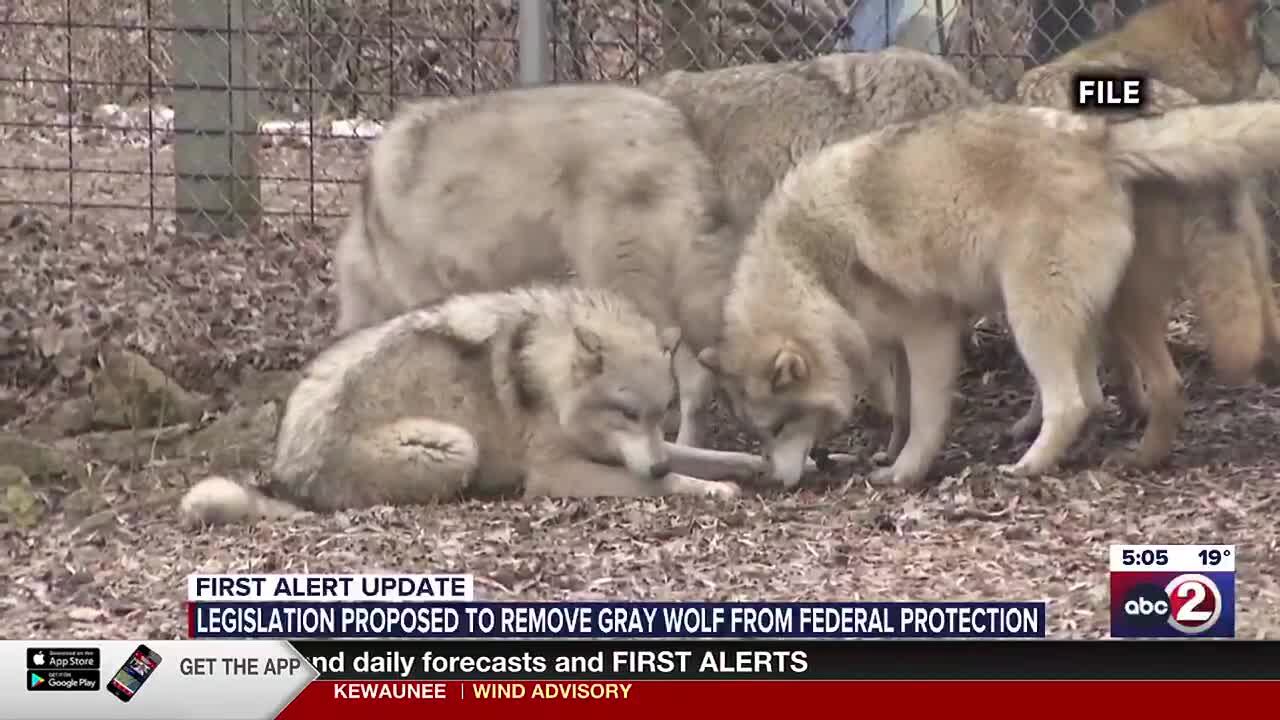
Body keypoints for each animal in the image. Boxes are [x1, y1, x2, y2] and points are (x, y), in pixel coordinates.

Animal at [180, 285, 769, 526]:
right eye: (625, 413)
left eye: (660, 410)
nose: (658, 464)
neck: (548, 373)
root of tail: (286, 469)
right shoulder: (557, 475)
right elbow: (664, 483)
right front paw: (713, 489)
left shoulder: (643, 449)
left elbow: (700, 457)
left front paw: (754, 464)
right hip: (455, 445)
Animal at [696, 100, 1280, 490]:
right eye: (760, 433)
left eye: (779, 426)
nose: (773, 481)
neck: (810, 265)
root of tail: (1095, 139)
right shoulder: (891, 344)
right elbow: (901, 411)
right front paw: (887, 456)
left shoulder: (929, 334)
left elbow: (925, 416)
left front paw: (905, 471)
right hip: (1111, 314)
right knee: (1129, 392)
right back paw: (1132, 458)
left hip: (1032, 317)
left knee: (1071, 401)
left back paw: (1029, 467)